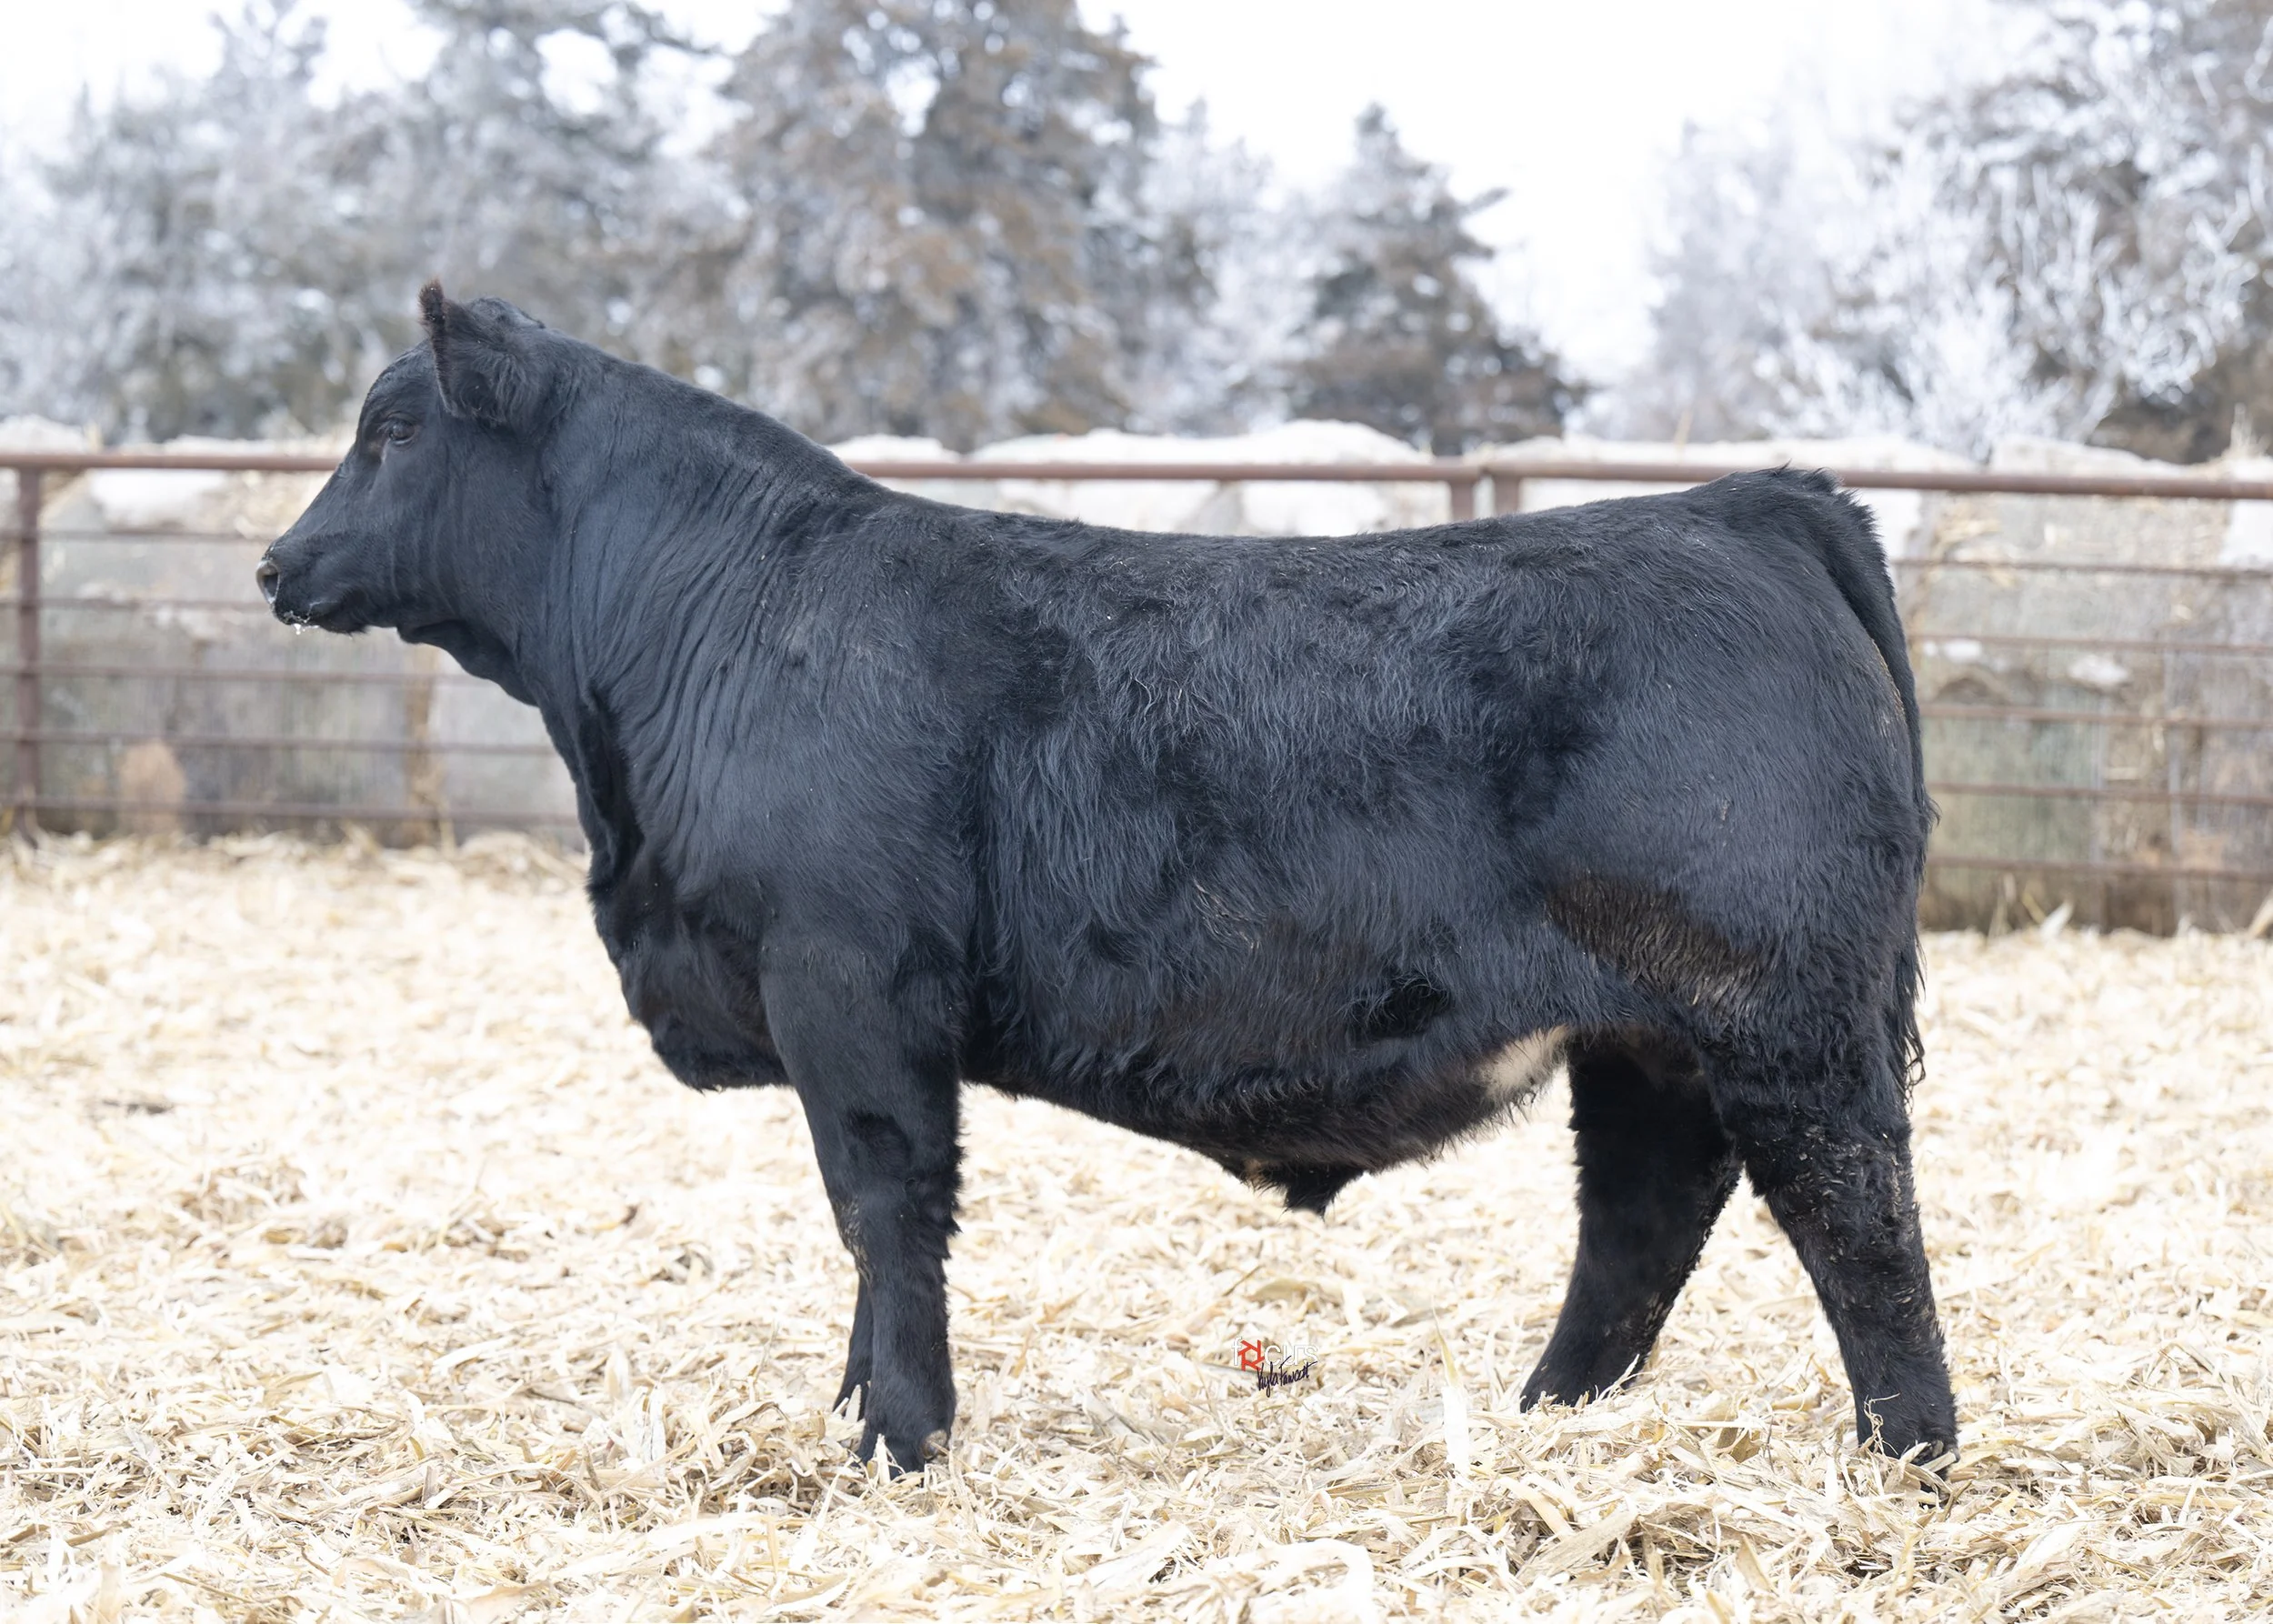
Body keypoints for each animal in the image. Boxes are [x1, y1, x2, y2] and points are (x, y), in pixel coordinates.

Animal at [259, 284, 1956, 1474]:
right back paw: (1547, 1422)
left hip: (1780, 1012)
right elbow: (872, 1225)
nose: (276, 563)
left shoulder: (849, 986)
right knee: (1643, 1222)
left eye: (390, 433)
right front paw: (857, 1407)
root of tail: (1746, 503)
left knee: (1854, 1215)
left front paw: (899, 1435)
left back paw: (1907, 1457)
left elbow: (886, 1203)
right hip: (1649, 1038)